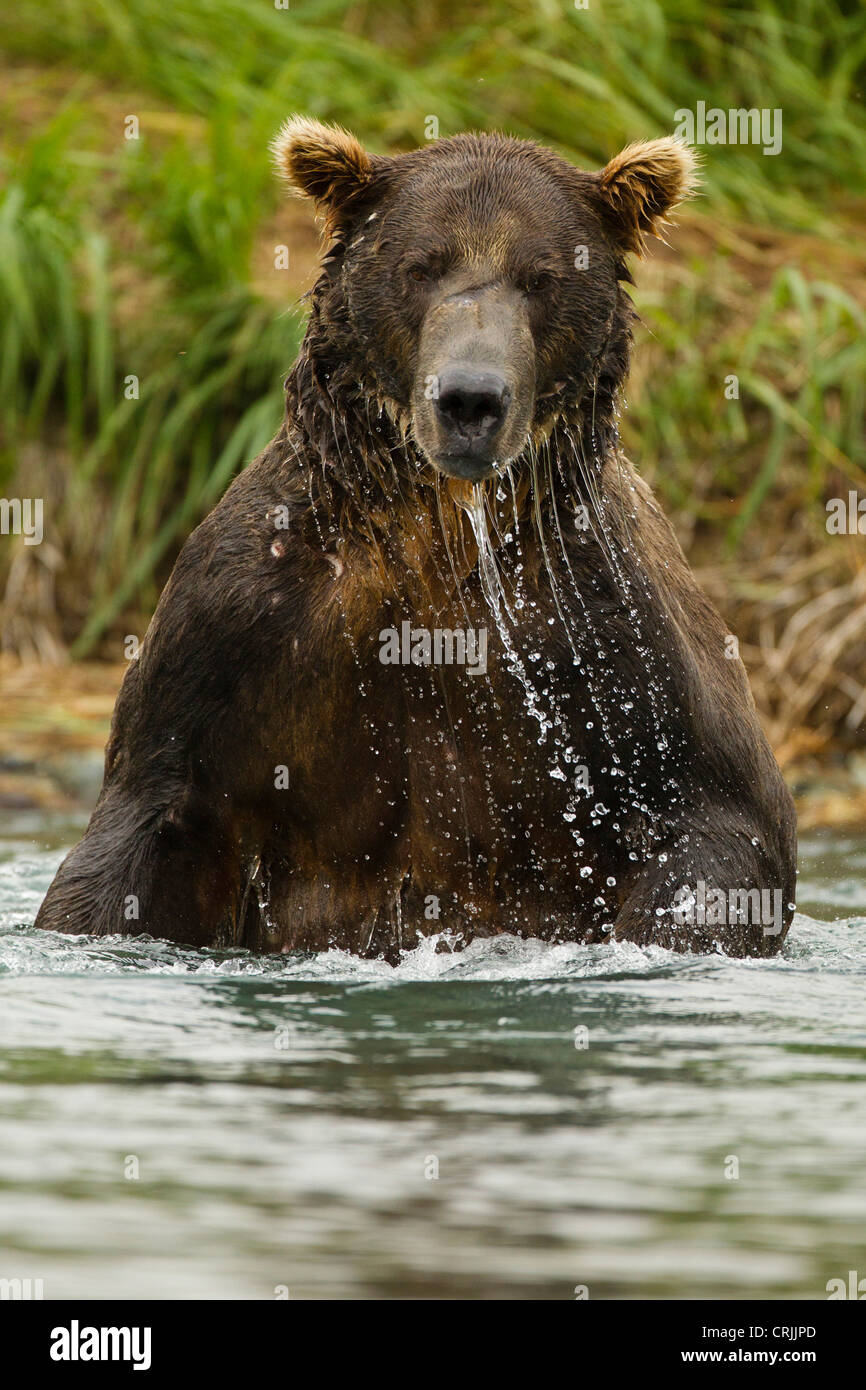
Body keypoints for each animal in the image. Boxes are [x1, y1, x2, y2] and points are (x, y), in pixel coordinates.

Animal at [38, 122, 800, 956]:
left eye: (540, 277)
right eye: (420, 267)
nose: (470, 398)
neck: (439, 530)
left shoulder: (604, 625)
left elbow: (720, 821)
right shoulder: (247, 623)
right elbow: (143, 828)